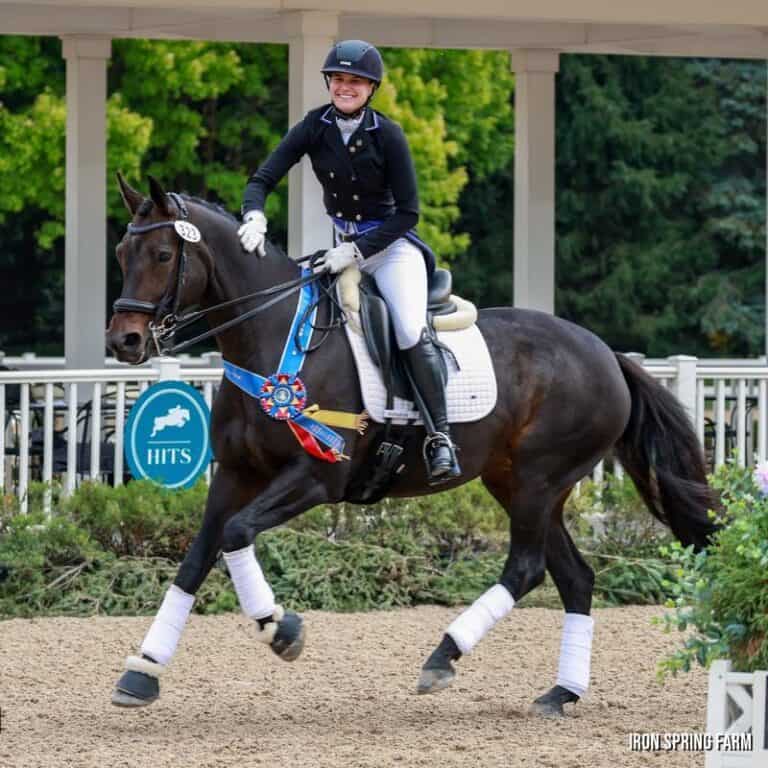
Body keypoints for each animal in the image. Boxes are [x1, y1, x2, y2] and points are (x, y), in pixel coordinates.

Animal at [105, 174, 718, 716]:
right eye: (121, 252)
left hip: (538, 482)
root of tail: (605, 352)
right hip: (516, 482)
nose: (125, 341)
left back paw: (444, 656)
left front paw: (280, 628)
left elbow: (235, 535)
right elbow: (197, 557)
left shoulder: (316, 476)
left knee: (526, 568)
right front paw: (143, 670)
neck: (274, 336)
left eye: (163, 254)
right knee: (574, 577)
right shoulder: (236, 475)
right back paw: (560, 693)